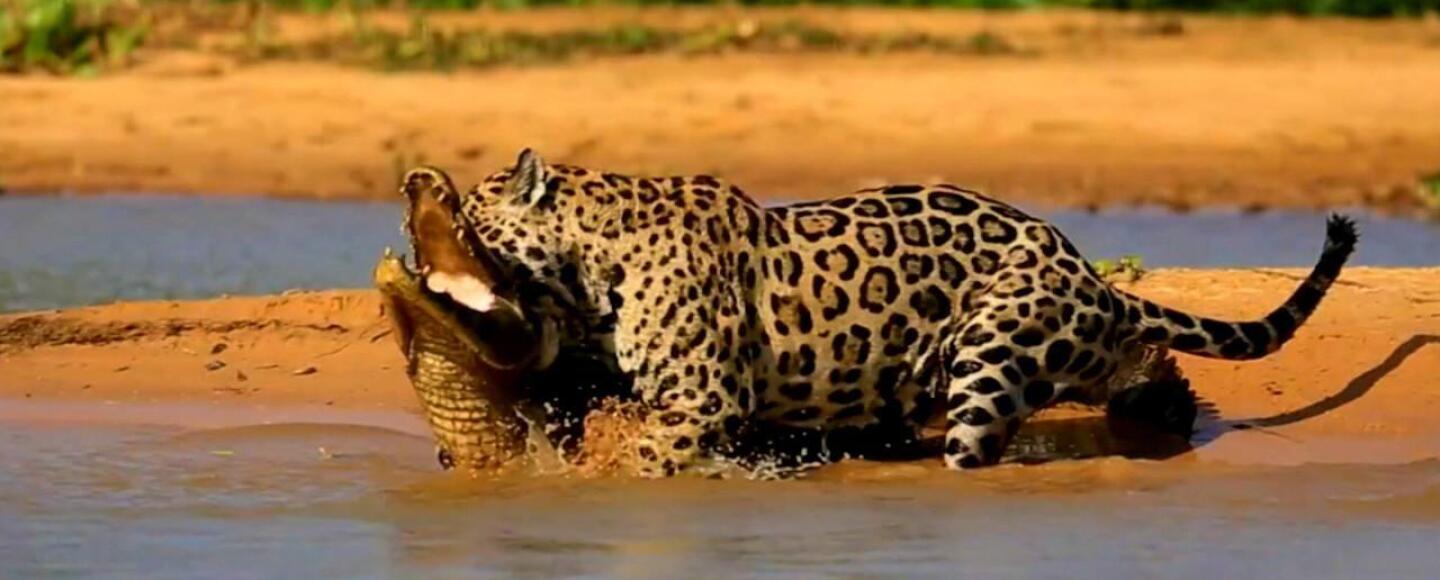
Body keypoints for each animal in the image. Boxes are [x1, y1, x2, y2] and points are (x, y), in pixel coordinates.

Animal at [401, 148, 1358, 477]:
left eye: (472, 217)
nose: (414, 198)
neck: (588, 270)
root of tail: (1083, 269)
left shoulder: (706, 399)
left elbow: (648, 456)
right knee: (1134, 365)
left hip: (991, 360)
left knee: (979, 445)